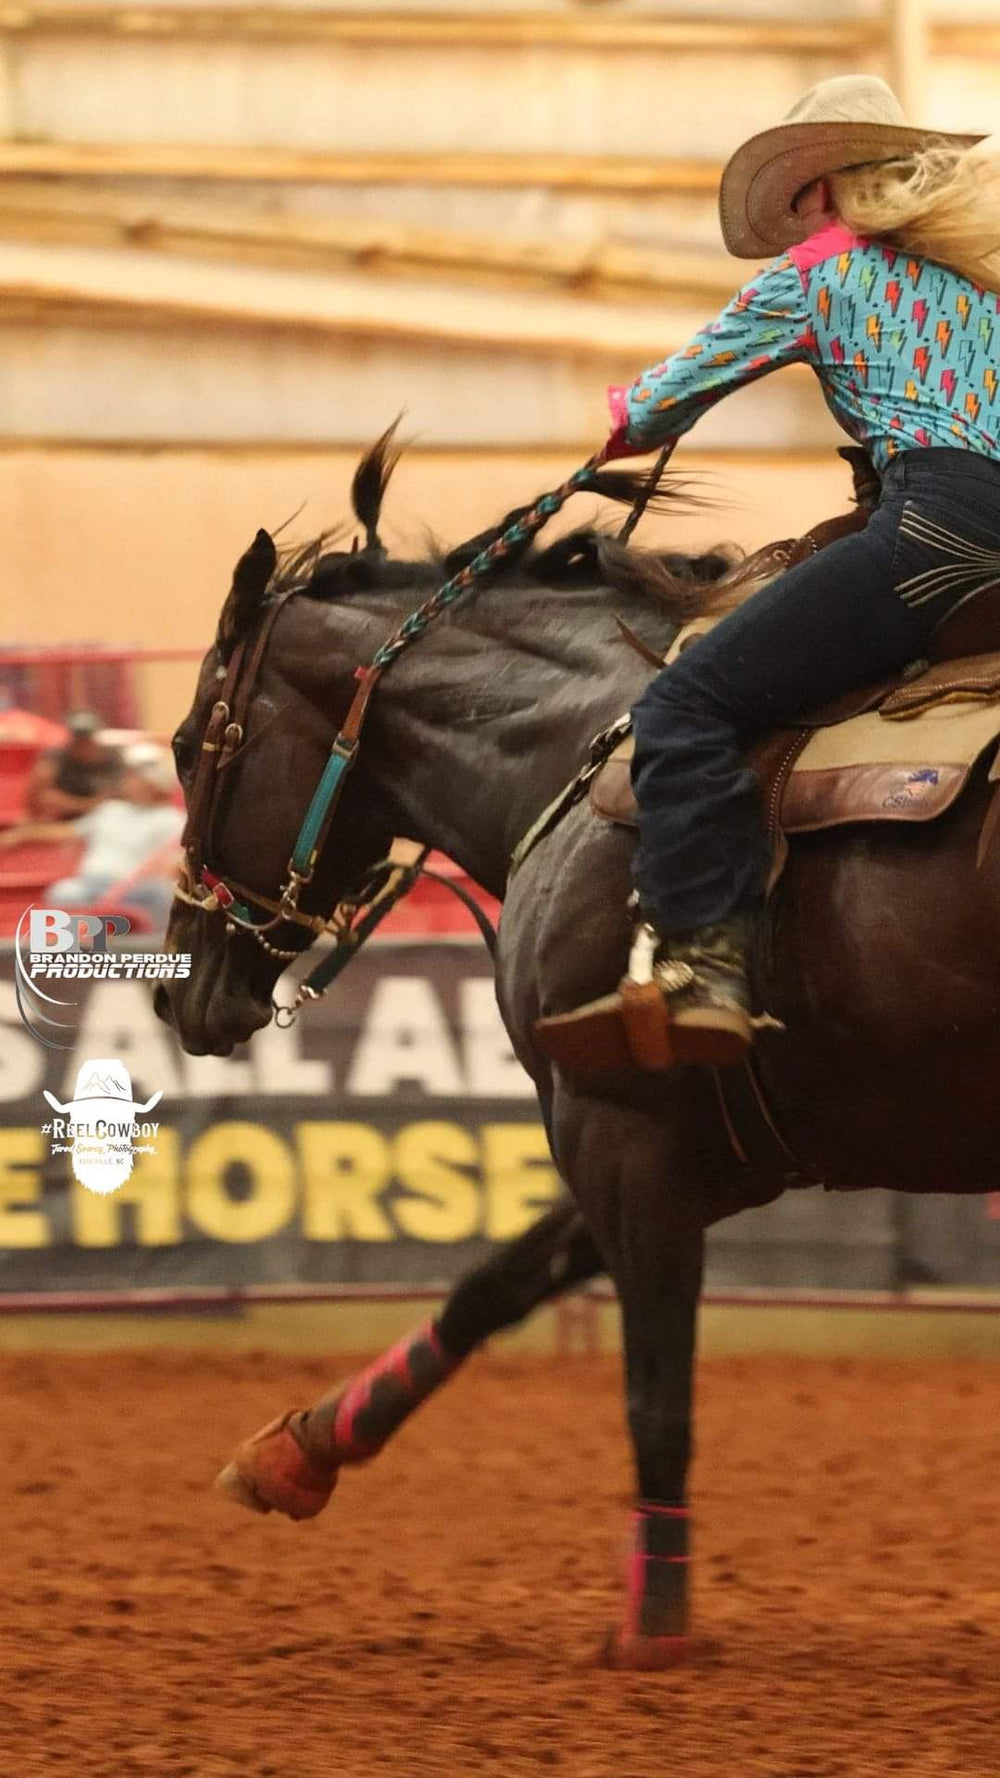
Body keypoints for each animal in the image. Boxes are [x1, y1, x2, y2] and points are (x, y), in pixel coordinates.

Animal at [158, 437, 1000, 1668]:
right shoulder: (680, 1130)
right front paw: (301, 1447)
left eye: (184, 747)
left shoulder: (621, 1125)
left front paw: (652, 1626)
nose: (180, 991)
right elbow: (494, 1283)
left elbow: (655, 1391)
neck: (571, 746)